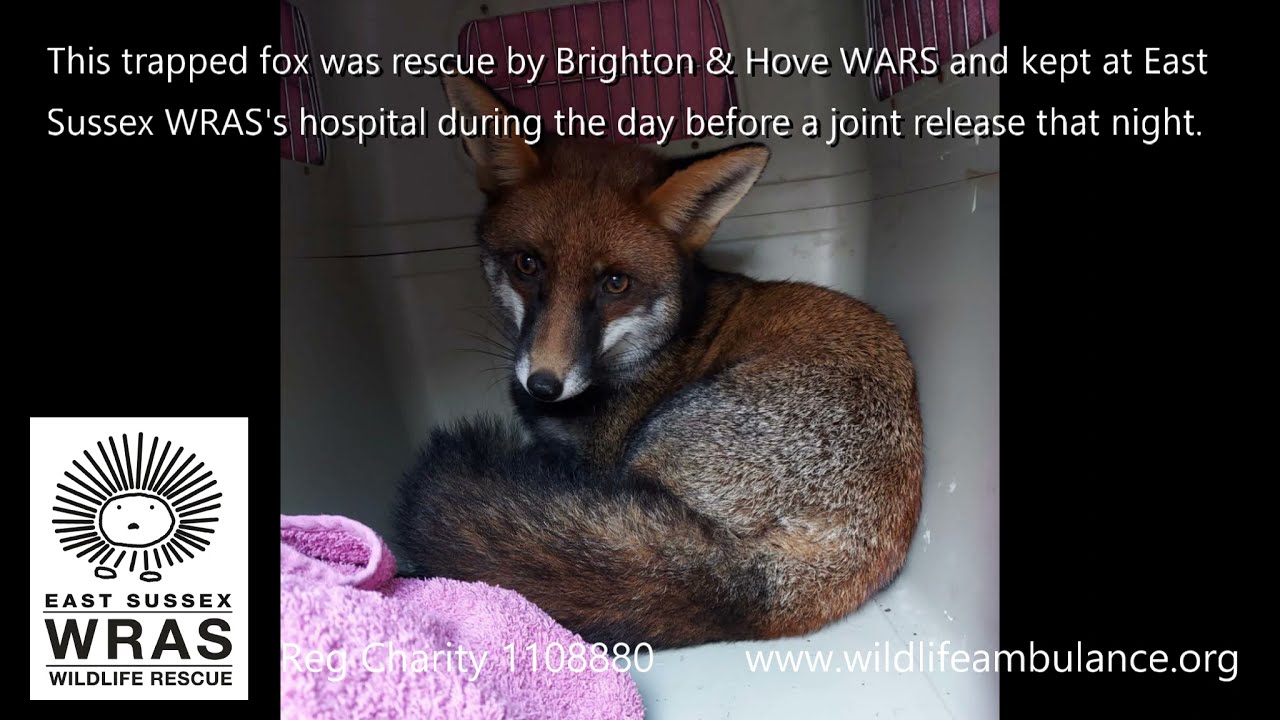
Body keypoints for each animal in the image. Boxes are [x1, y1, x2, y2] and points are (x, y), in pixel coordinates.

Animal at [393, 73, 924, 650]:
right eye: (527, 264)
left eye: (615, 284)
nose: (543, 385)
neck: (656, 346)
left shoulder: (598, 461)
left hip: (658, 441)